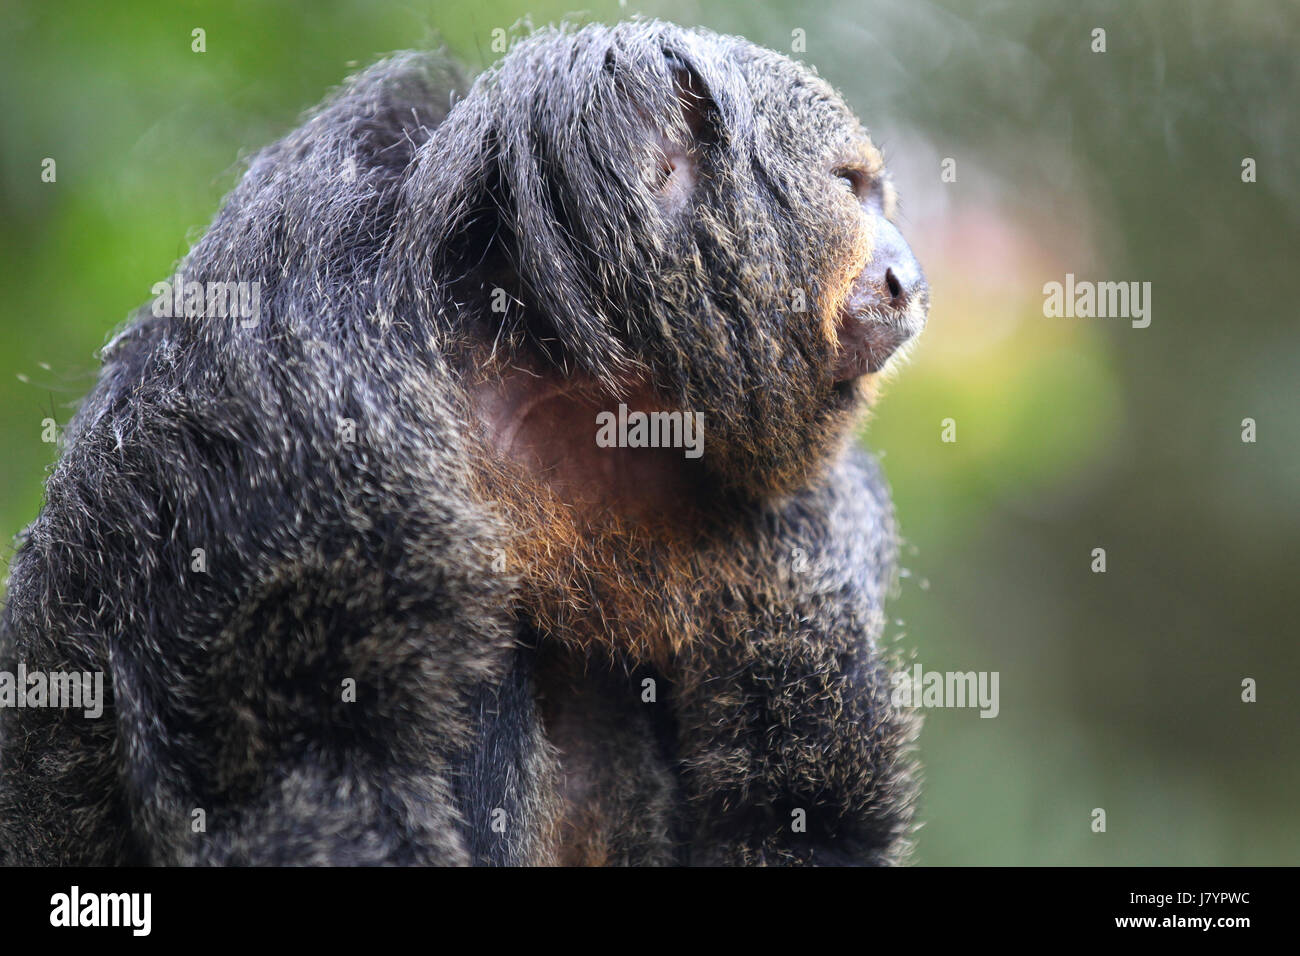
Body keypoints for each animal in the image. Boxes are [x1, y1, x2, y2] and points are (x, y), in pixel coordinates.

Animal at [0, 19, 928, 866]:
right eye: (852, 188)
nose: (908, 278)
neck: (567, 385)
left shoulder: (807, 523)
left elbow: (800, 810)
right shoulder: (305, 369)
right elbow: (306, 767)